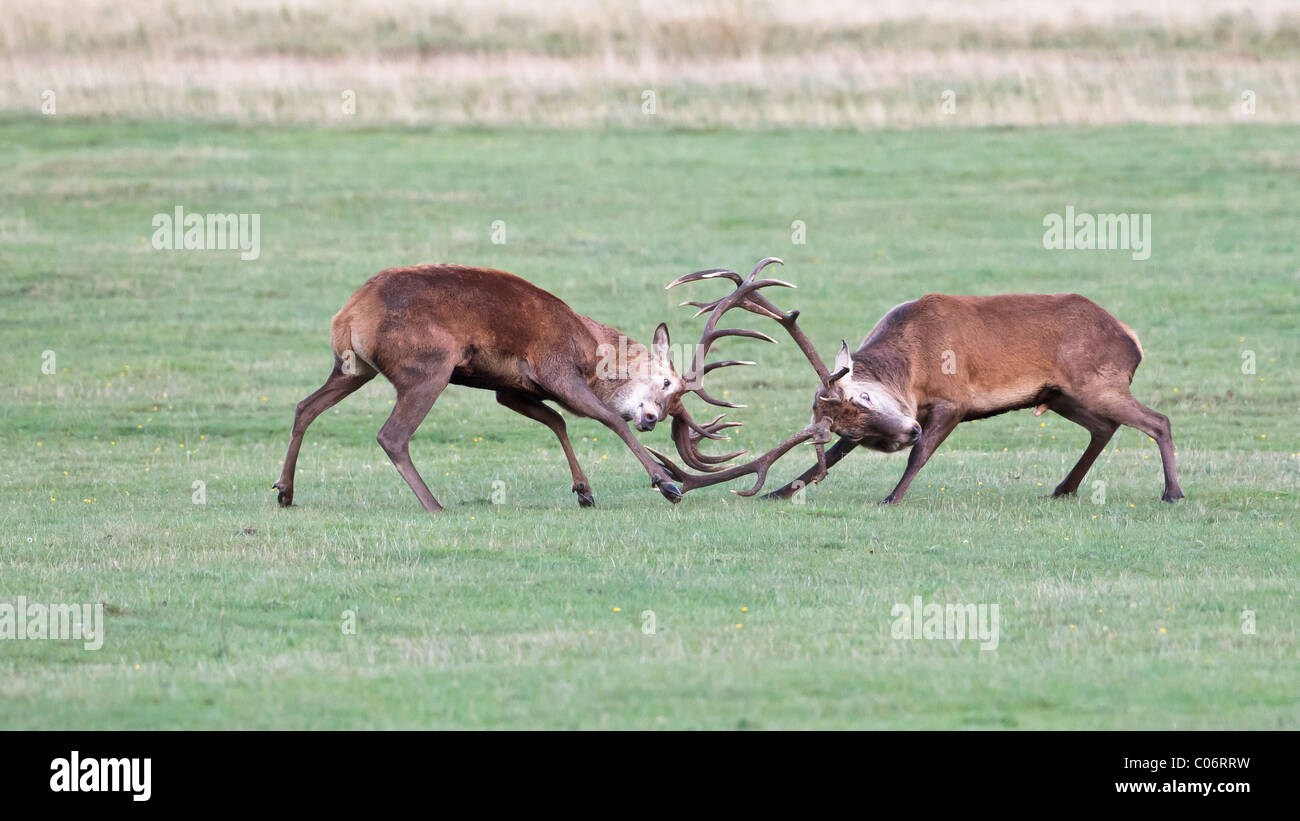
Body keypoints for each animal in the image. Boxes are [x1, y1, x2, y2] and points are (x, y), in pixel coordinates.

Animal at [272, 263, 771, 512]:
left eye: (672, 404)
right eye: (666, 383)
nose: (651, 419)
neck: (590, 349)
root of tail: (349, 316)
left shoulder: (509, 388)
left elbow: (555, 421)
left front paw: (584, 490)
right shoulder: (555, 367)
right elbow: (608, 418)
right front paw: (665, 481)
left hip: (353, 367)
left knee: (305, 406)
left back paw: (285, 490)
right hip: (426, 366)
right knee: (391, 435)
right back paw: (434, 504)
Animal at [650, 258, 1185, 506]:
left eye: (864, 394)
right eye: (860, 432)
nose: (906, 428)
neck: (913, 369)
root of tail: (1130, 337)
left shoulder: (954, 399)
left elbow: (921, 455)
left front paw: (892, 497)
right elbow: (832, 461)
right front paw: (783, 489)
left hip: (1098, 380)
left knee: (1157, 419)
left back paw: (1172, 492)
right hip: (1058, 395)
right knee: (1105, 427)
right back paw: (1064, 487)